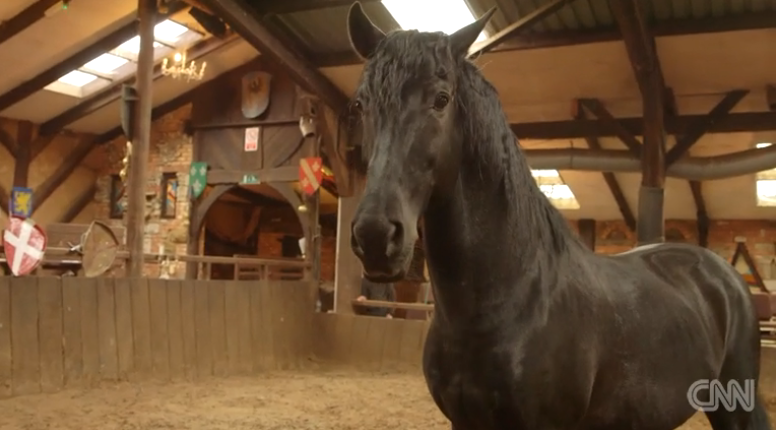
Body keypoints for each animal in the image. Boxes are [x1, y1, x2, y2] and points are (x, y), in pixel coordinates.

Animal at [344, 2, 772, 430]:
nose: (375, 236)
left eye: (442, 99)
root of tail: (724, 274)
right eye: (361, 104)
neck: (510, 296)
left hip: (734, 402)